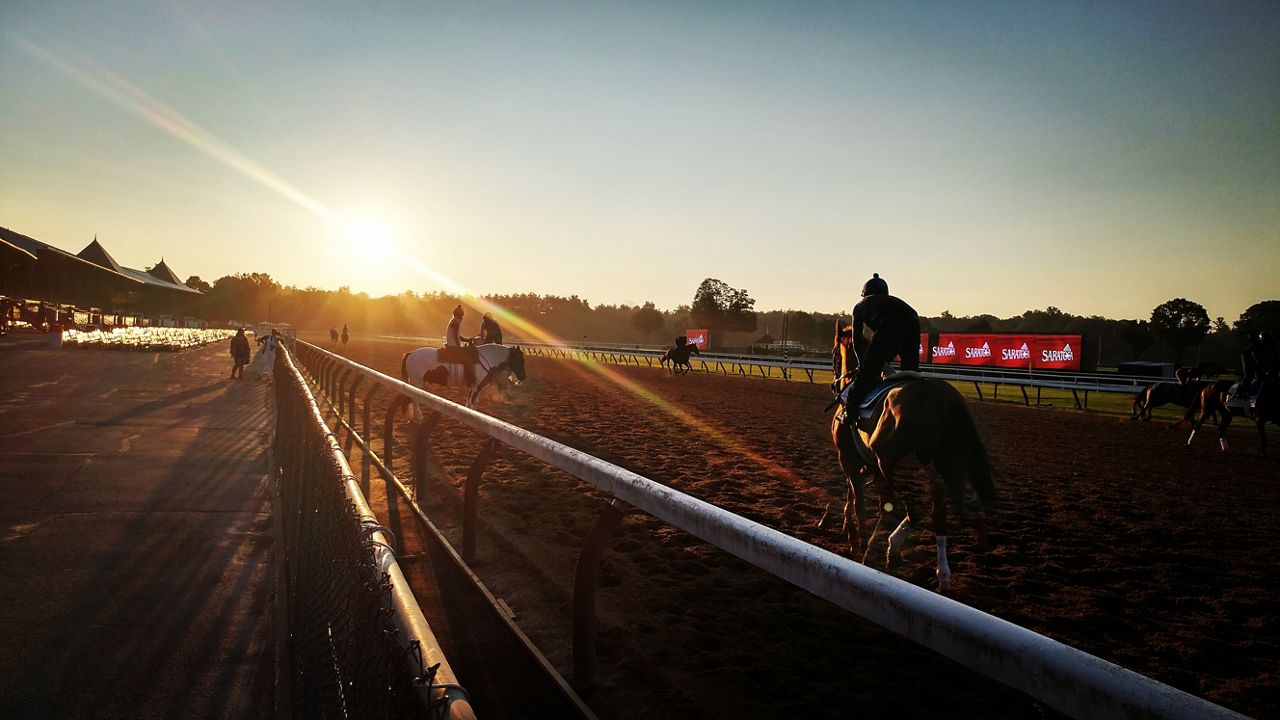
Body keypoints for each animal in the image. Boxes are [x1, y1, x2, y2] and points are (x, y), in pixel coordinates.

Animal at [394, 340, 524, 415]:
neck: (487, 358)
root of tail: (410, 354)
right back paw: (418, 418)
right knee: (414, 398)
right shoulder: (476, 387)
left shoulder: (477, 387)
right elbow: (471, 403)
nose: (523, 377)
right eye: (520, 360)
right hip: (417, 382)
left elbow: (473, 403)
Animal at [829, 322, 998, 586]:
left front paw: (856, 541)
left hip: (891, 463)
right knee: (938, 511)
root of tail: (942, 396)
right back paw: (940, 572)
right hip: (934, 464)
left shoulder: (848, 456)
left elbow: (860, 501)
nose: (836, 382)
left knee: (906, 510)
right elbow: (855, 493)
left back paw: (879, 549)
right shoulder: (866, 463)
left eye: (835, 353)